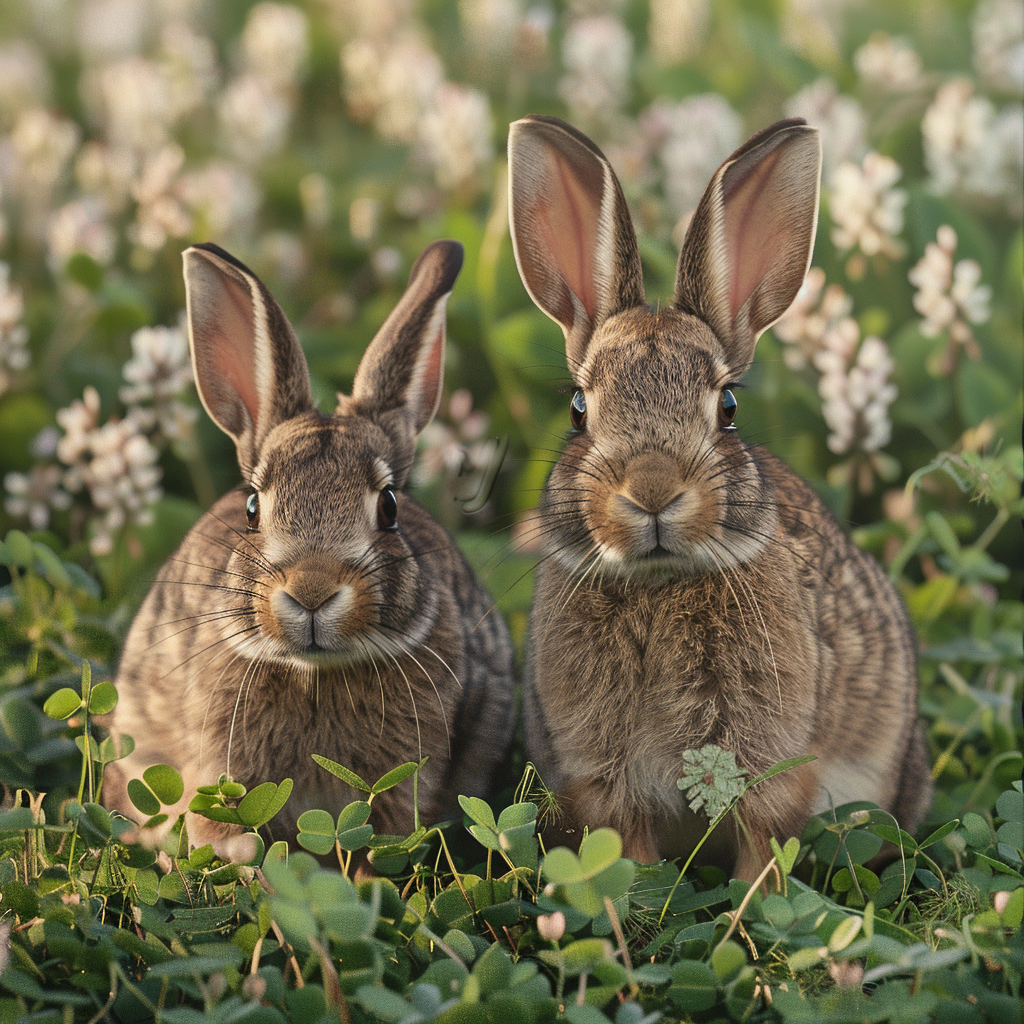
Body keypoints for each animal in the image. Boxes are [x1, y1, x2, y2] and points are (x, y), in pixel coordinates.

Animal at [508, 114, 932, 882]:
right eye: (579, 410)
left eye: (728, 407)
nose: (651, 492)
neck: (658, 582)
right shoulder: (600, 775)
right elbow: (627, 848)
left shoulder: (770, 758)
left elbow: (764, 840)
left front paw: (746, 899)